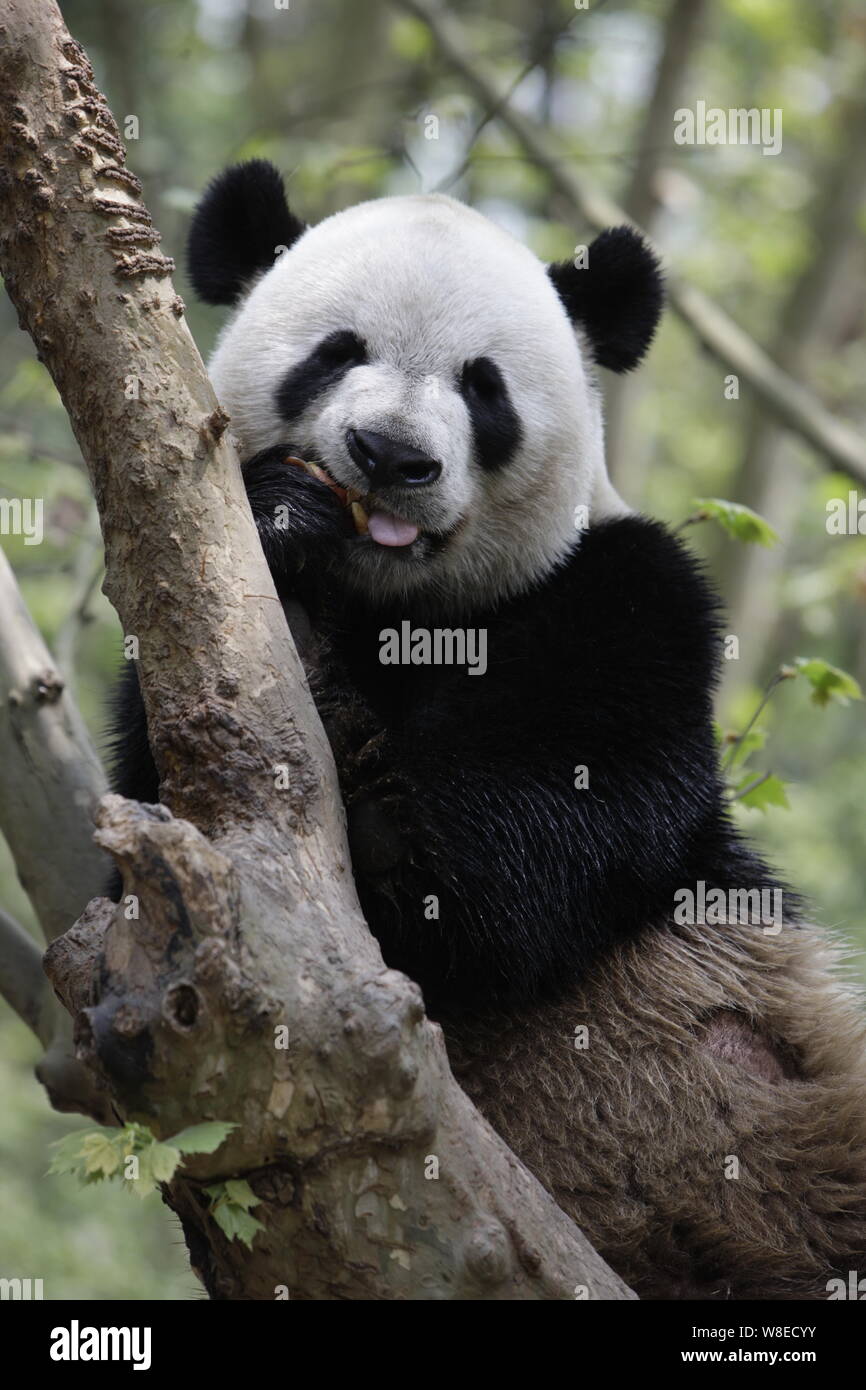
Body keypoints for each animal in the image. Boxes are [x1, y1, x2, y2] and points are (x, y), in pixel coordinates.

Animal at [111, 160, 866, 1300]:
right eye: (336, 352)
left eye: (483, 387)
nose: (388, 456)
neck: (398, 611)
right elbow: (168, 829)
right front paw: (288, 538)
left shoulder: (631, 598)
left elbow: (539, 846)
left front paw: (373, 783)